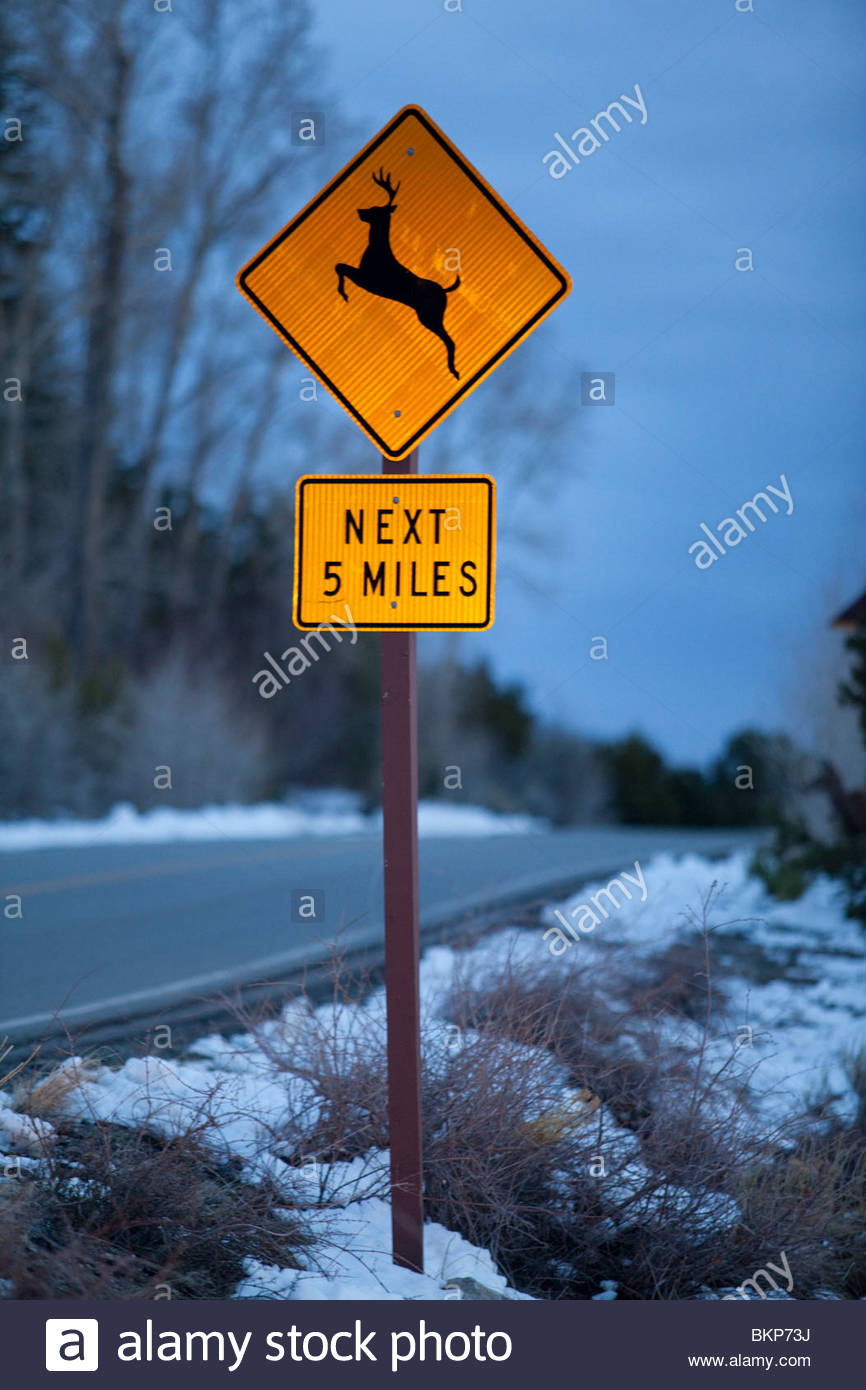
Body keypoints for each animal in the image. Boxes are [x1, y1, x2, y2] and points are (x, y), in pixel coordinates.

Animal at [335, 168, 461, 379]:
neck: (377, 251)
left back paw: (454, 371)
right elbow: (339, 266)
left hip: (429, 314)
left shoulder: (368, 280)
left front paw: (343, 294)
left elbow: (339, 266)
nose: (360, 211)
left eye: (376, 210)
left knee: (449, 340)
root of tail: (444, 291)